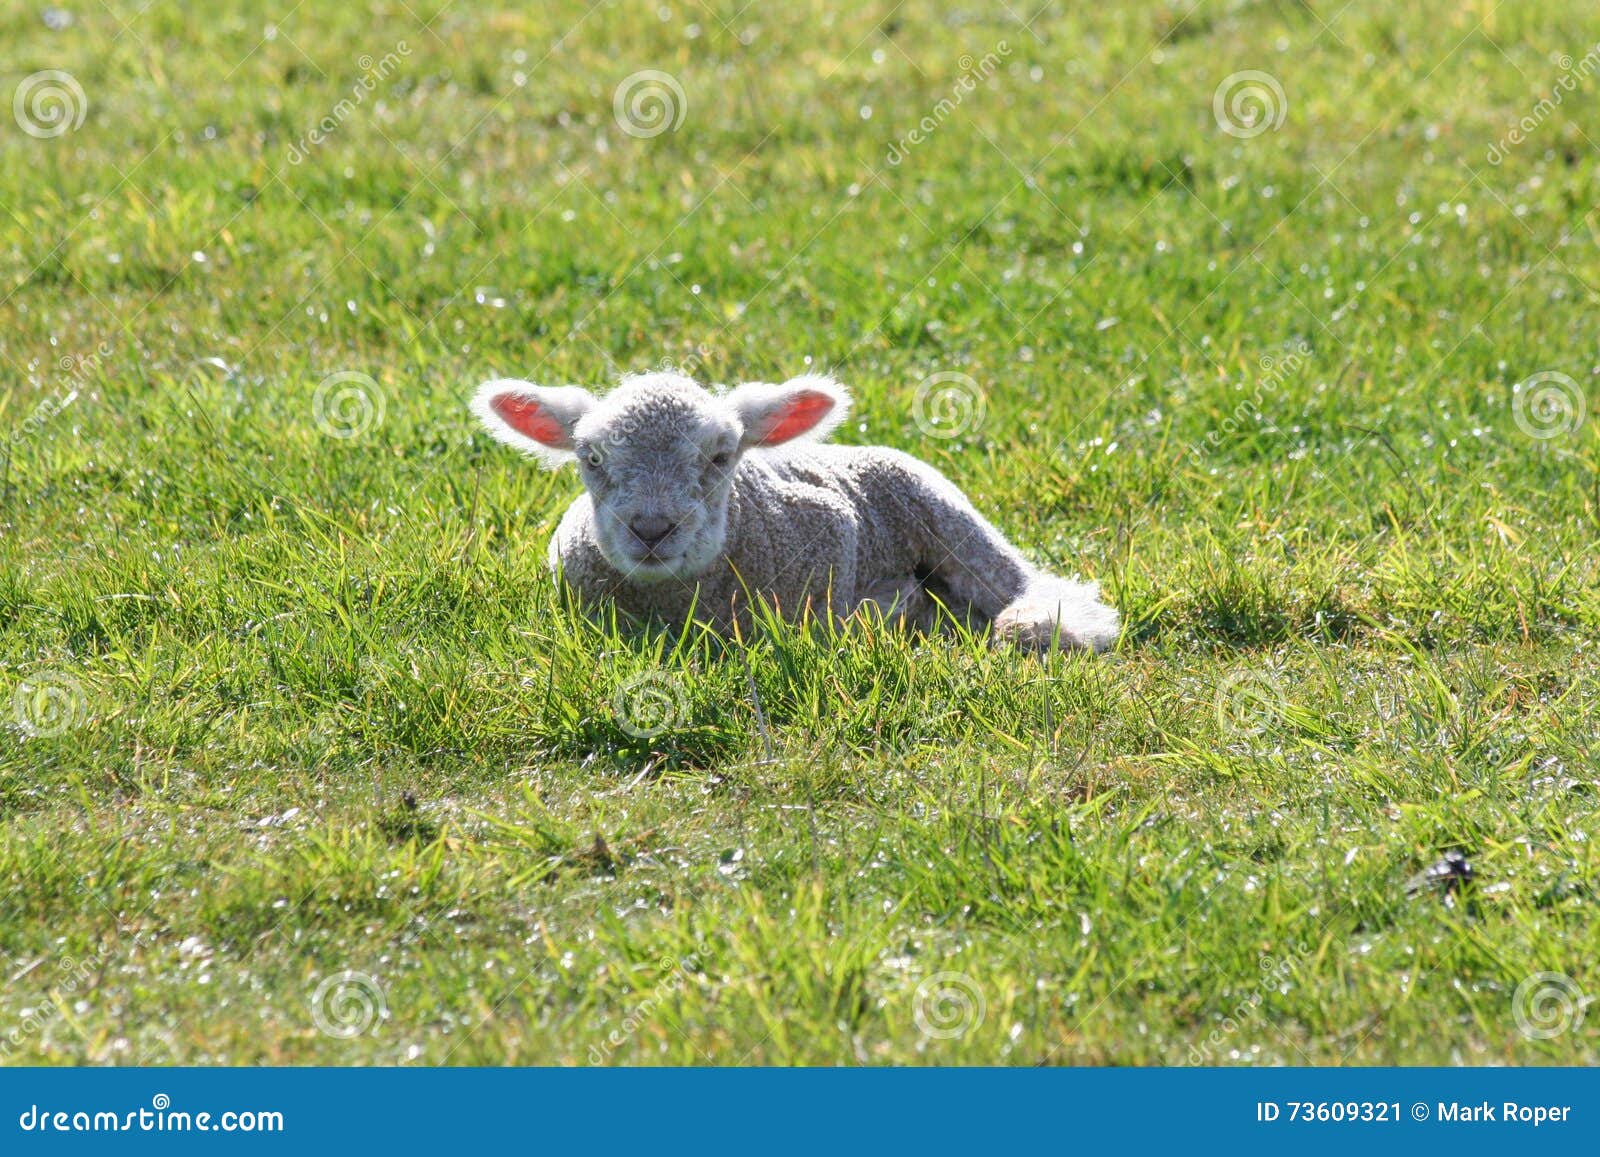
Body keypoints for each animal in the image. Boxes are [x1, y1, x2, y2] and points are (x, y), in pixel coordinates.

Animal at [470, 370, 1119, 652]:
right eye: (592, 458)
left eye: (721, 456)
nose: (652, 529)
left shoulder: (832, 533)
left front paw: (888, 607)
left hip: (938, 510)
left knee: (1013, 581)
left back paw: (1031, 621)